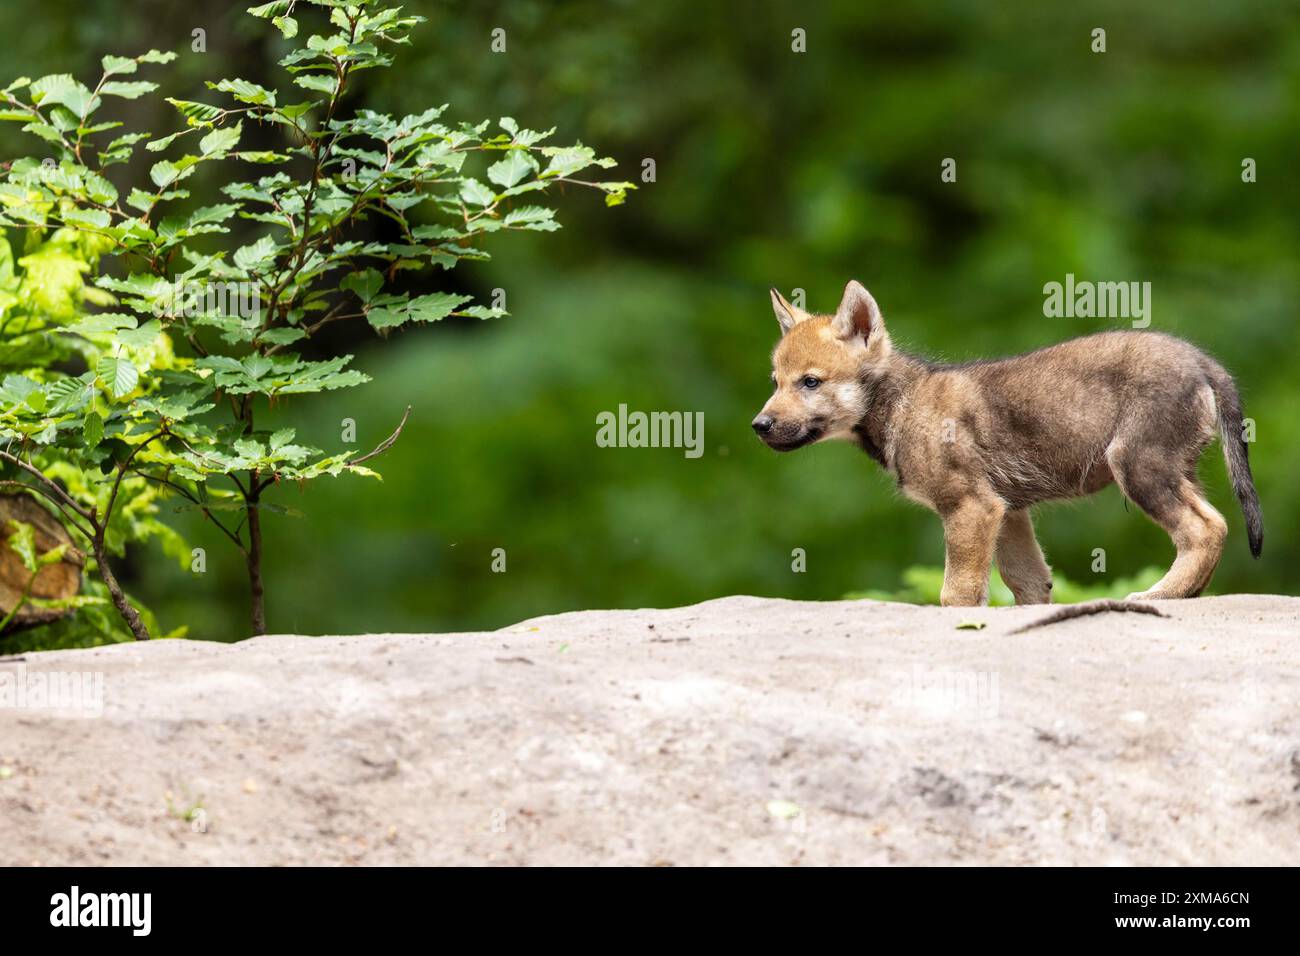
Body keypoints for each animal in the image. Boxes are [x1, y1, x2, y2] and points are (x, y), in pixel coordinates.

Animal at [753, 281, 1263, 606]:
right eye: (775, 381)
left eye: (810, 382)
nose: (759, 424)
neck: (900, 403)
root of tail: (1203, 361)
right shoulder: (1009, 510)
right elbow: (1030, 585)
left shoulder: (970, 506)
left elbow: (956, 594)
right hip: (1176, 470)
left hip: (1137, 465)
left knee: (1207, 527)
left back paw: (1161, 594)